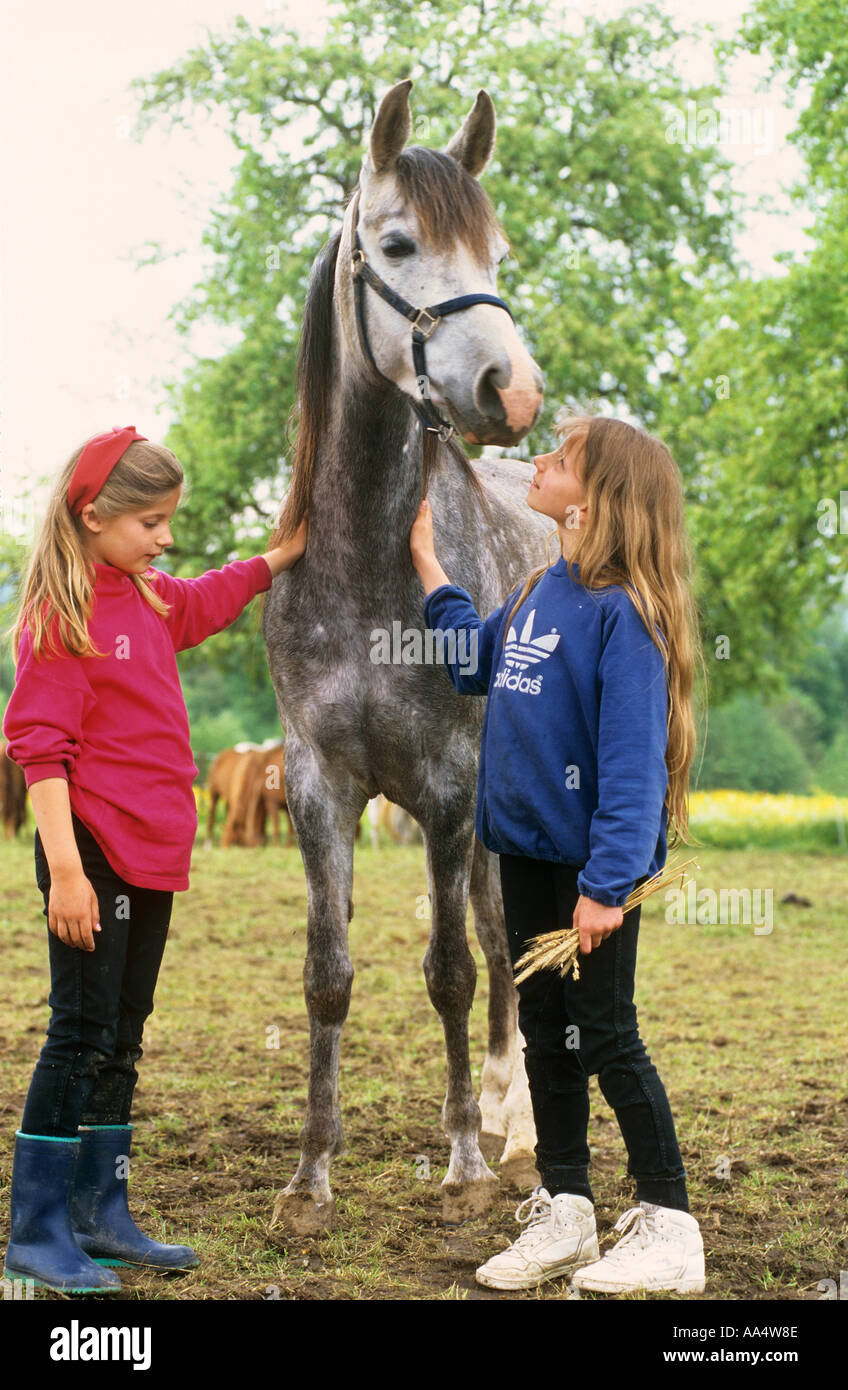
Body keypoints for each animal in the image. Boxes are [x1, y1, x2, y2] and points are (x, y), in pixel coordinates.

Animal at [262, 80, 554, 1232]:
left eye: (495, 249)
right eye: (397, 242)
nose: (511, 390)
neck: (364, 562)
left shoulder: (448, 787)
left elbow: (449, 972)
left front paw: (468, 1163)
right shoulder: (318, 786)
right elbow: (328, 973)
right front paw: (309, 1176)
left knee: (506, 945)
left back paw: (513, 1128)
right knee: (497, 931)